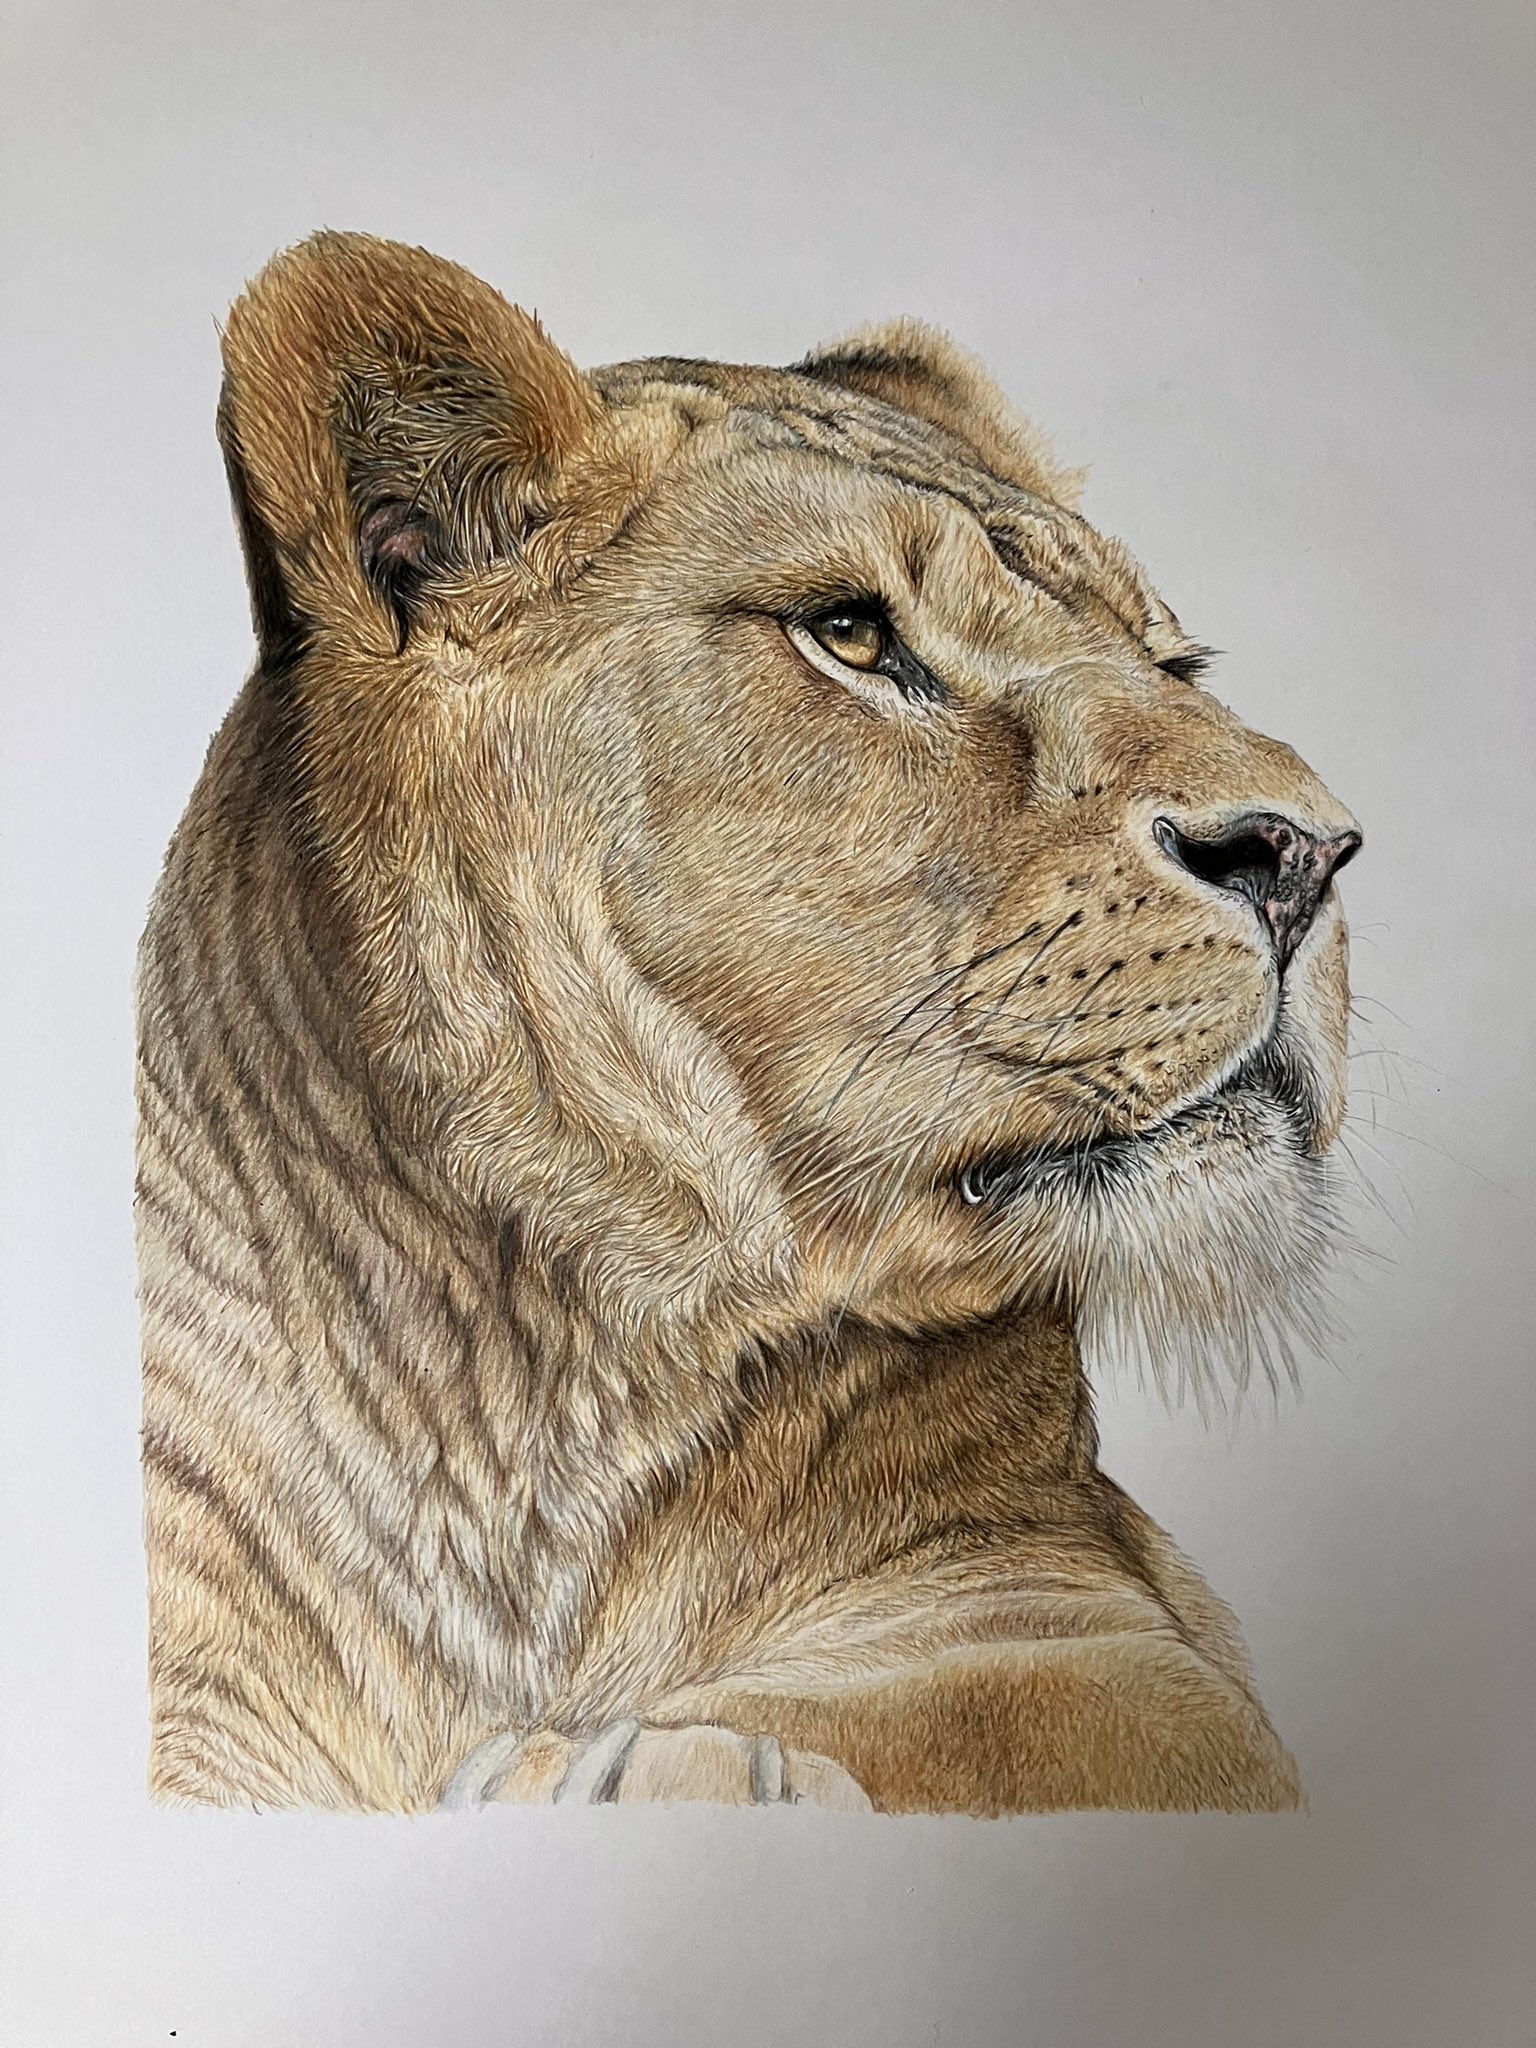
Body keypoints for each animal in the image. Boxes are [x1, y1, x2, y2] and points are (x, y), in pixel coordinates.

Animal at [136, 231, 1361, 1813]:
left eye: (1177, 665)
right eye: (850, 634)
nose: (1308, 852)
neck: (539, 1402)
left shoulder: (1089, 1646)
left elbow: (993, 1729)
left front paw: (640, 1767)